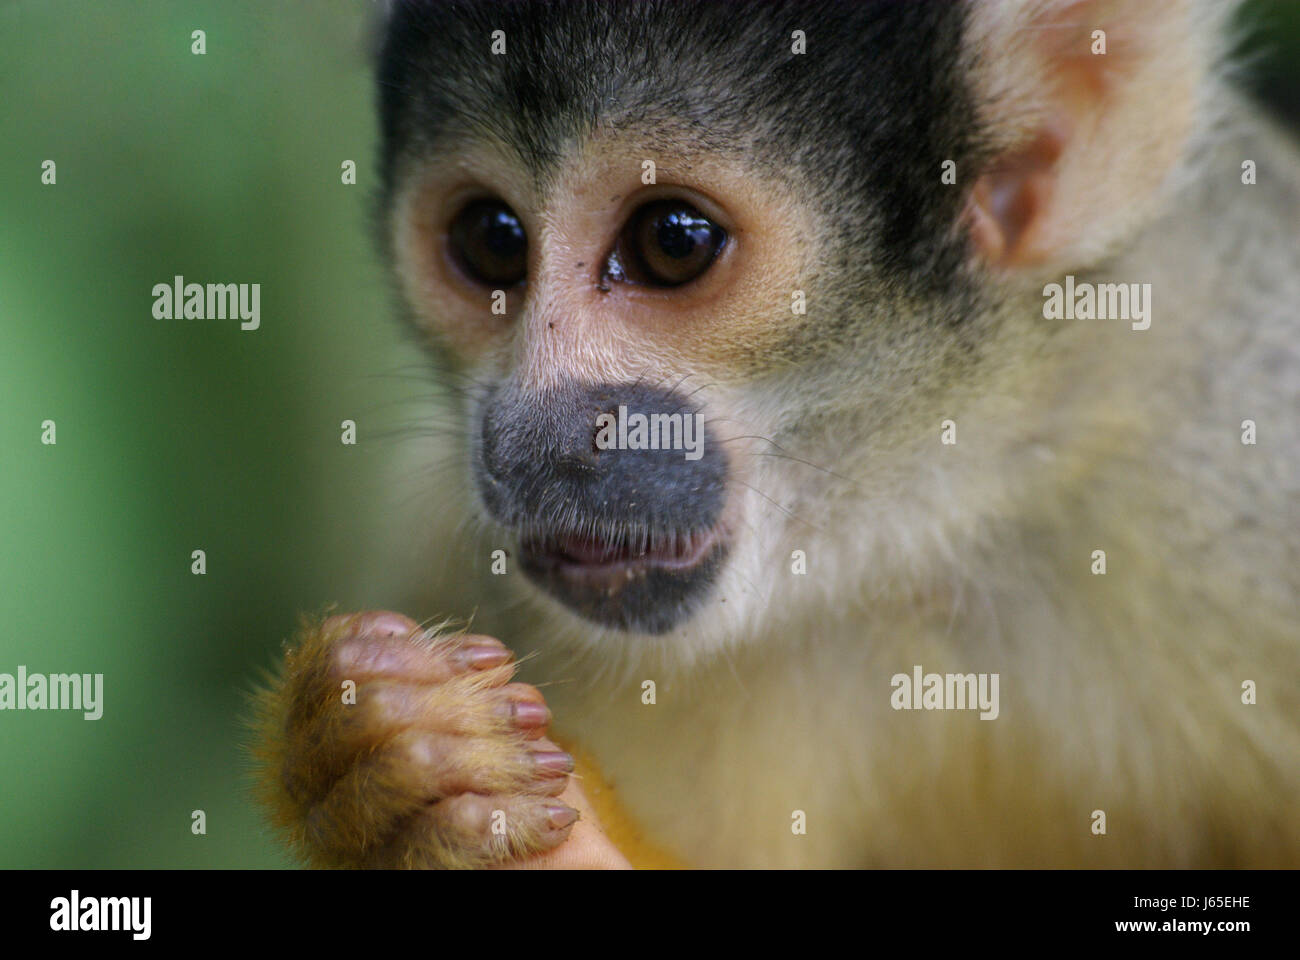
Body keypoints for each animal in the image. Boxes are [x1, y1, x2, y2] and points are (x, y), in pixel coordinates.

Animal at [249, 0, 1300, 869]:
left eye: (672, 240)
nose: (524, 443)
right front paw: (385, 773)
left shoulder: (1241, 432)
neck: (927, 522)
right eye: (491, 239)